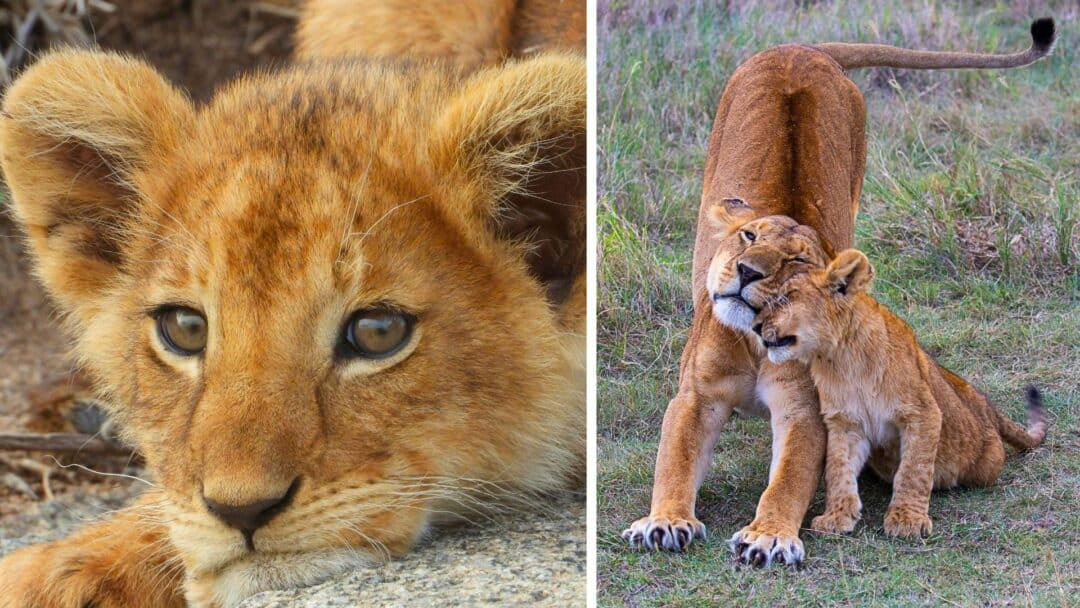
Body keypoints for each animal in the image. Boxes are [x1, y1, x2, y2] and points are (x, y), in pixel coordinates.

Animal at [752, 248, 1047, 538]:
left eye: (787, 297)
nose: (754, 326)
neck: (841, 359)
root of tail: (985, 405)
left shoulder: (922, 413)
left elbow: (913, 470)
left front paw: (907, 519)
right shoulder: (844, 422)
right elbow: (838, 470)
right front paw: (836, 516)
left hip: (987, 465)